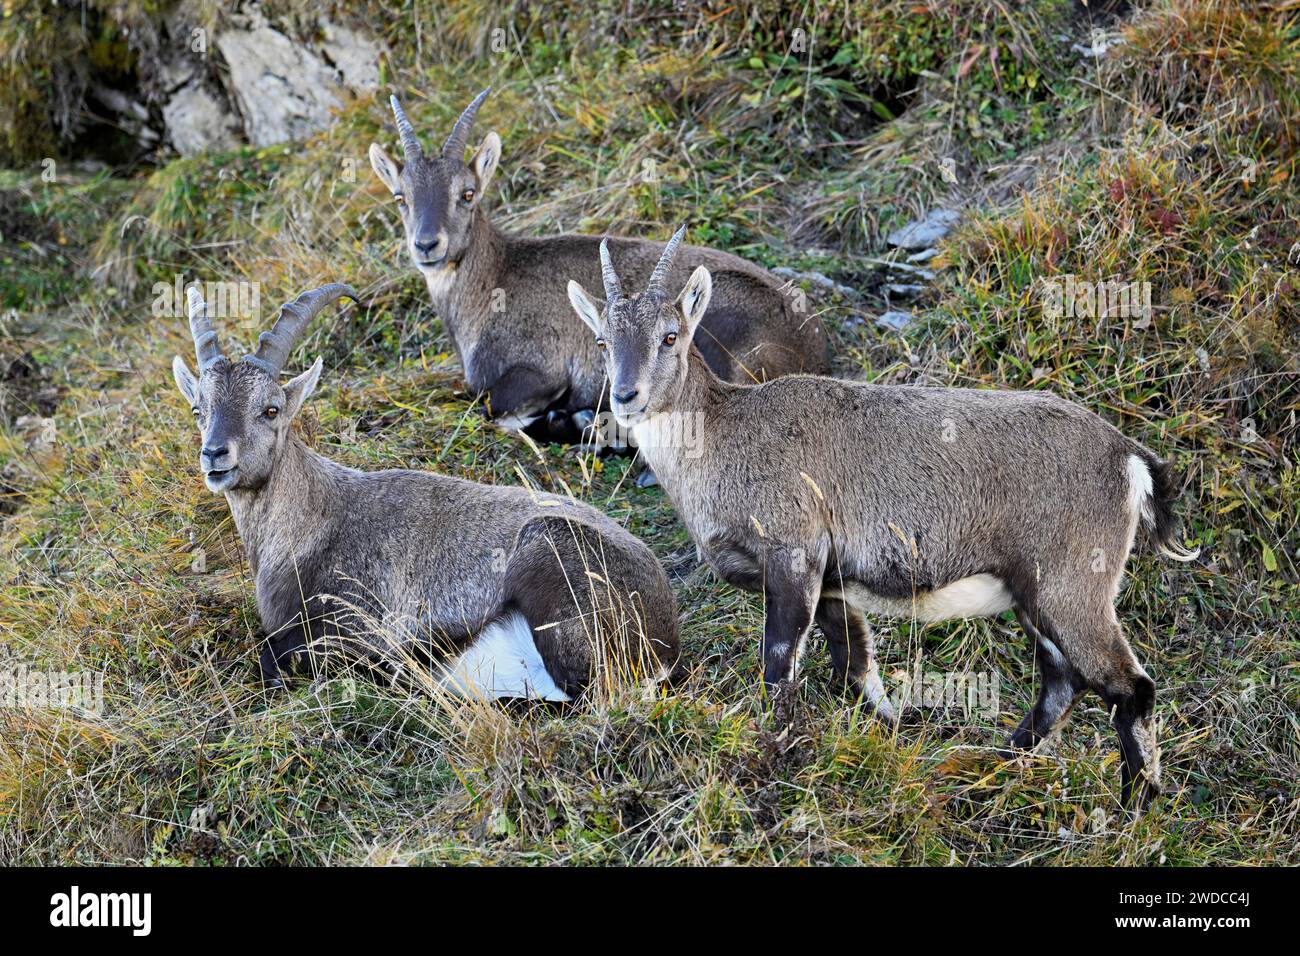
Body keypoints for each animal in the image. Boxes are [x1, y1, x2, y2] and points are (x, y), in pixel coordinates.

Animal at [171, 282, 679, 699]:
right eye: (198, 409)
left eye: (271, 409)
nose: (216, 454)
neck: (310, 525)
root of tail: (664, 636)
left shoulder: (357, 623)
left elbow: (277, 661)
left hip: (550, 561)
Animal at [368, 89, 829, 459]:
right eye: (400, 197)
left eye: (467, 193)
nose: (428, 245)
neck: (492, 282)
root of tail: (813, 339)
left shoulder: (539, 370)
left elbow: (493, 410)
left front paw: (572, 422)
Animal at [566, 229, 1199, 807]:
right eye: (602, 340)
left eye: (670, 336)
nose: (626, 396)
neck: (724, 434)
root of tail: (1127, 458)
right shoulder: (832, 584)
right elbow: (857, 666)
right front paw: (894, 738)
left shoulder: (793, 556)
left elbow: (779, 665)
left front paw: (775, 752)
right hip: (1036, 597)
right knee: (1061, 680)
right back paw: (990, 768)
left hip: (1071, 585)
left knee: (1128, 687)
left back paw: (1135, 803)